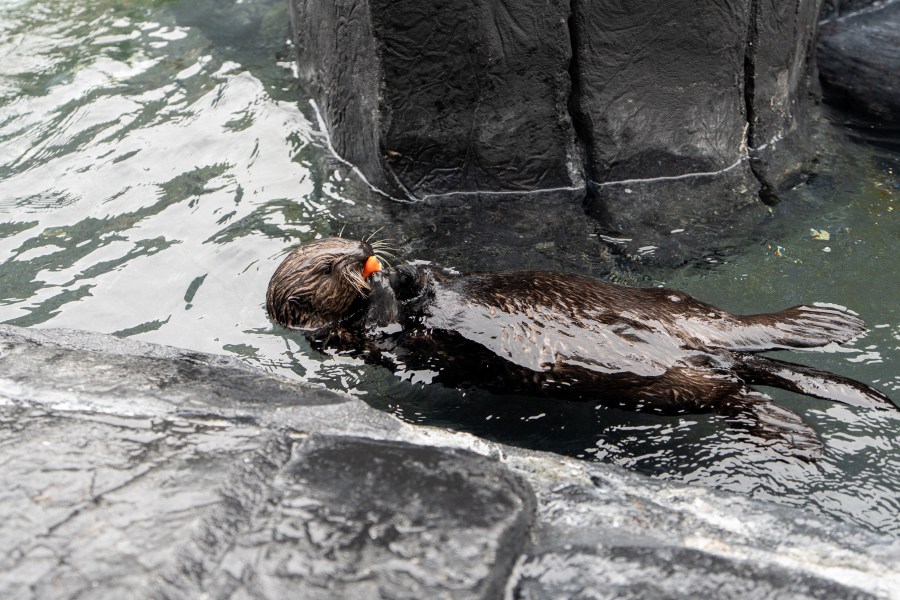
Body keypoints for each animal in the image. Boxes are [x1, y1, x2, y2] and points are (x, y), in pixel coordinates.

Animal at [266, 237, 897, 456]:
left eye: (346, 244)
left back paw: (825, 320)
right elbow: (381, 330)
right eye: (328, 265)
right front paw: (382, 286)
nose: (365, 252)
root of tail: (706, 350)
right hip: (670, 386)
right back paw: (795, 432)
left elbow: (432, 279)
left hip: (680, 308)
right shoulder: (355, 341)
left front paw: (404, 270)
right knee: (737, 393)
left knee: (745, 330)